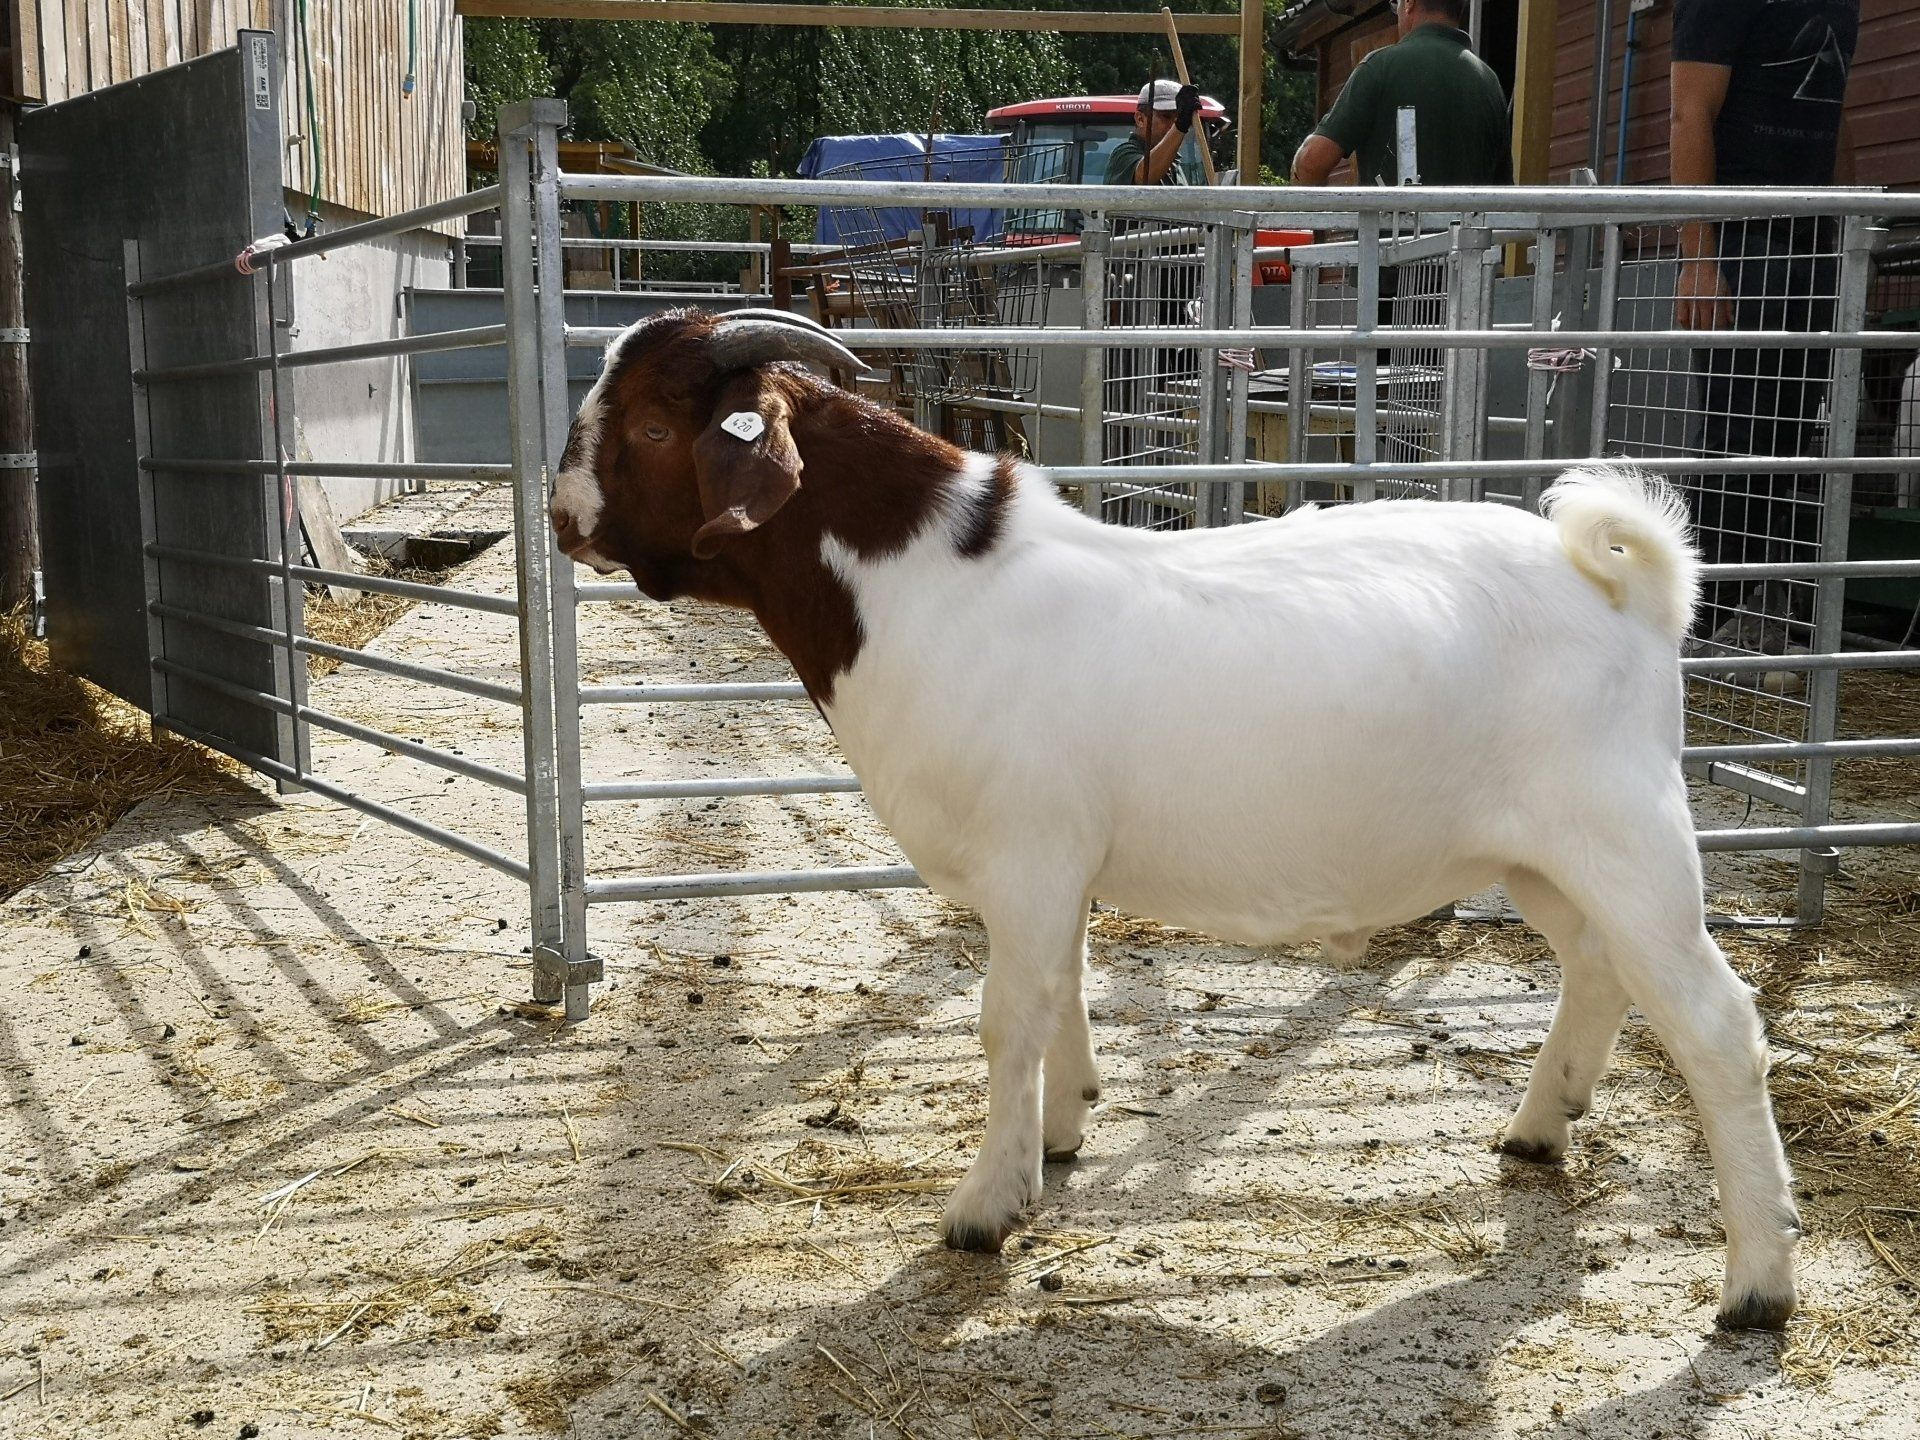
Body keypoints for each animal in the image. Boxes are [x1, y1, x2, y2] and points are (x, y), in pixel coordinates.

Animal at [552, 307, 1801, 1331]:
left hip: (1625, 828)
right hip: (1546, 852)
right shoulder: (1059, 867)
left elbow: (1008, 1017)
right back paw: (1544, 1124)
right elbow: (1061, 992)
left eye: (655, 427)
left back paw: (1756, 1285)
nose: (562, 517)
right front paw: (1060, 1136)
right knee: (1598, 964)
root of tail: (1635, 590)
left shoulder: (1027, 854)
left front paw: (982, 1209)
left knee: (1714, 1024)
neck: (921, 586)